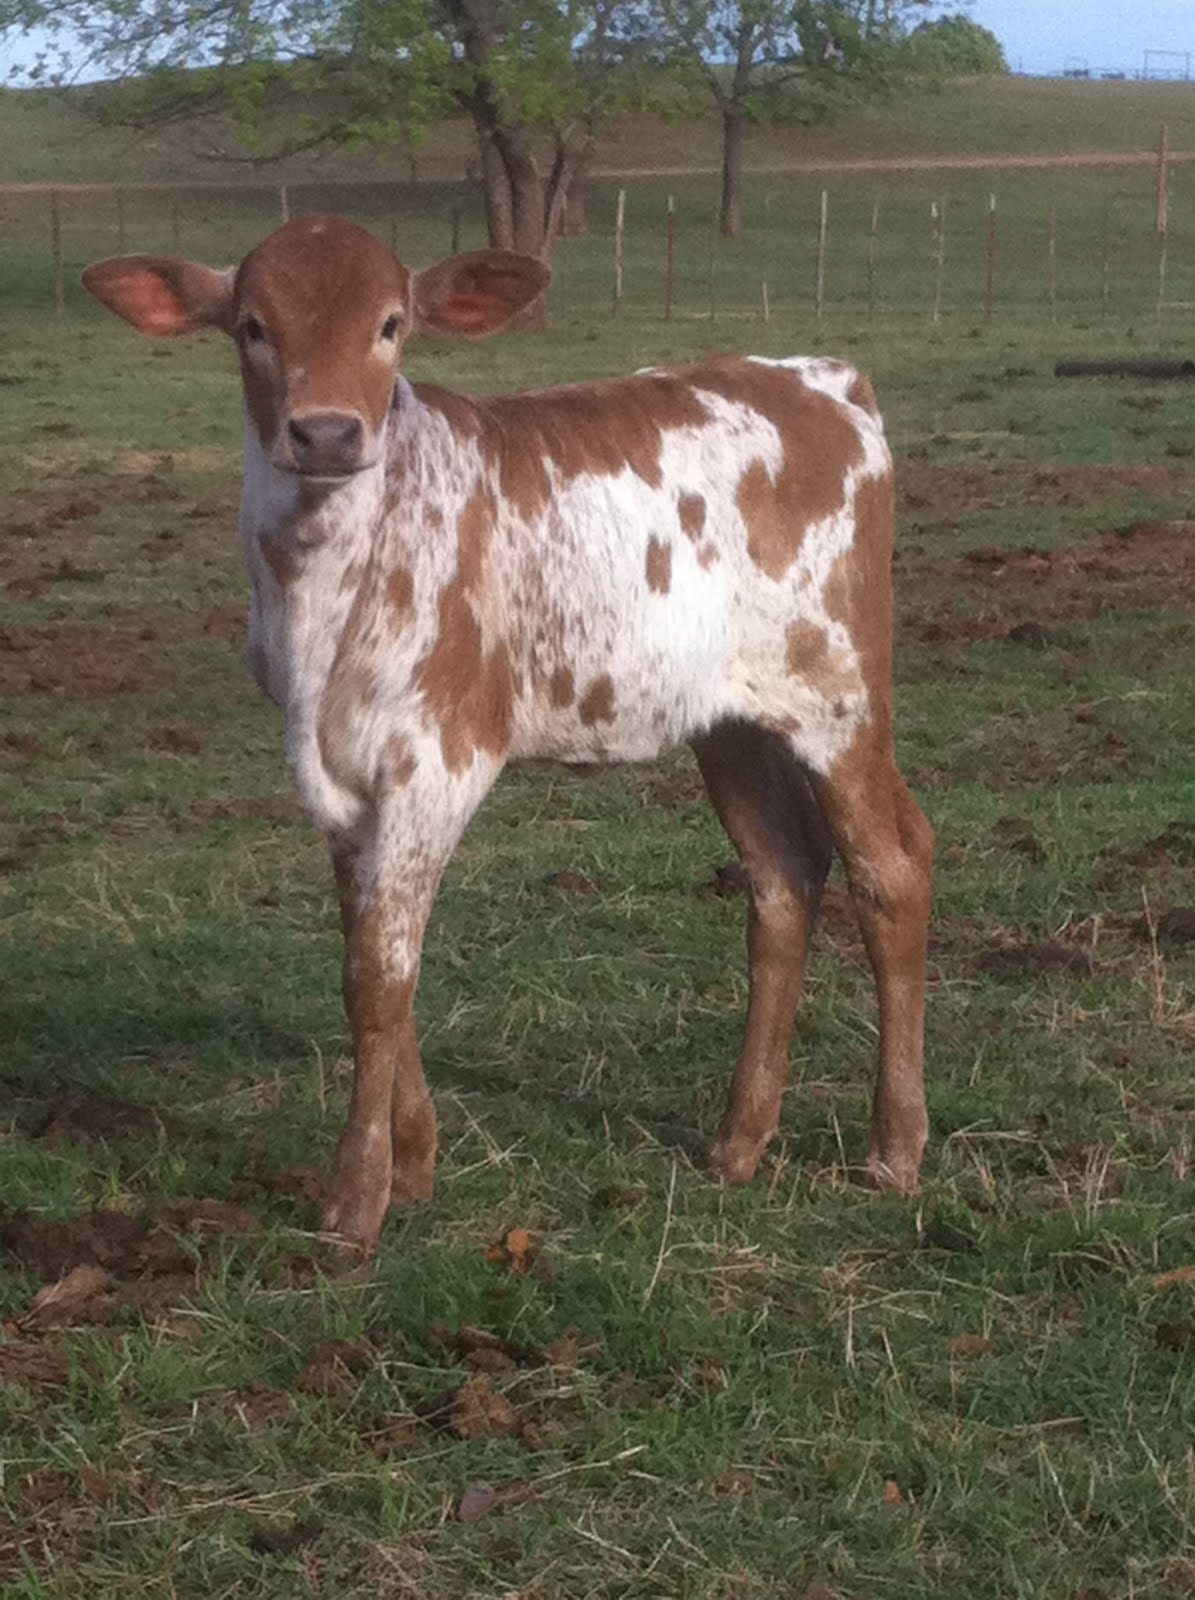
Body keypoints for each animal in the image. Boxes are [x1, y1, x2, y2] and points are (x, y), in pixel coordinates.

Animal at [83, 215, 933, 1253]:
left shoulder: (438, 755)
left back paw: (893, 1148)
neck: (322, 588)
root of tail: (818, 376)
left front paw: (355, 1200)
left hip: (840, 695)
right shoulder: (332, 771)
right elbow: (367, 952)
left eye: (392, 324)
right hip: (731, 720)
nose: (326, 433)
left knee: (890, 868)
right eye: (252, 326)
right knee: (781, 876)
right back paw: (739, 1142)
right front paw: (412, 1163)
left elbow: (379, 973)